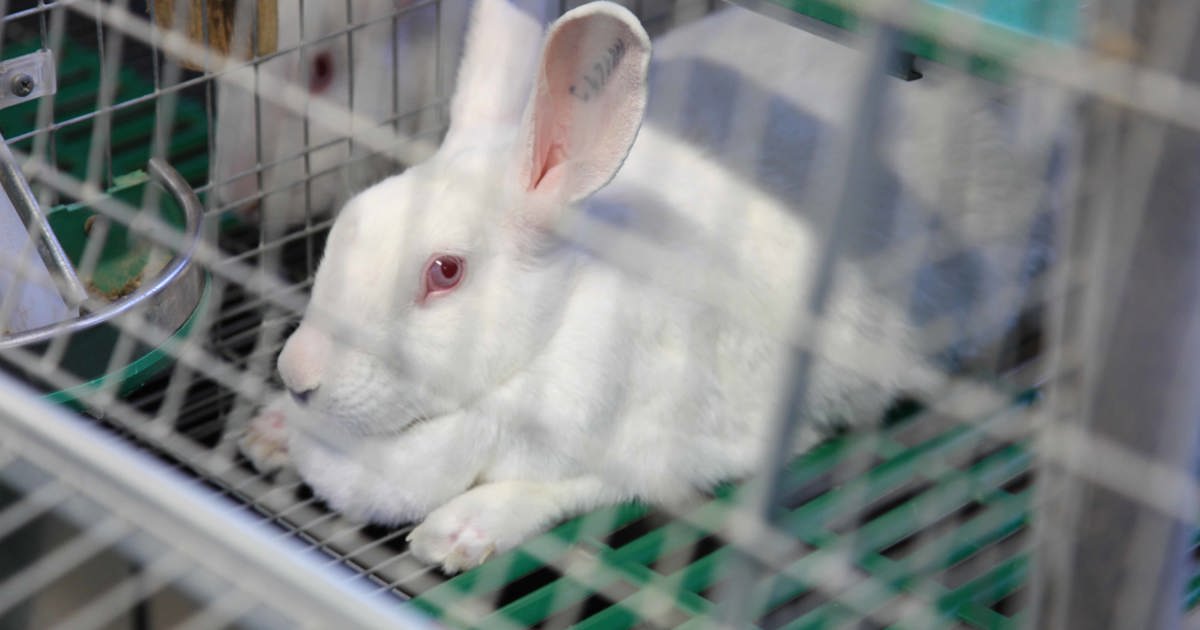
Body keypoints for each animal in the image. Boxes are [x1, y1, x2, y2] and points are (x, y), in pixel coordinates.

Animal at [238, 0, 1059, 574]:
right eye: (349, 221)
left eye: (445, 273)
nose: (297, 373)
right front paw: (268, 432)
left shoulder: (681, 448)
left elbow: (576, 488)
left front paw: (458, 532)